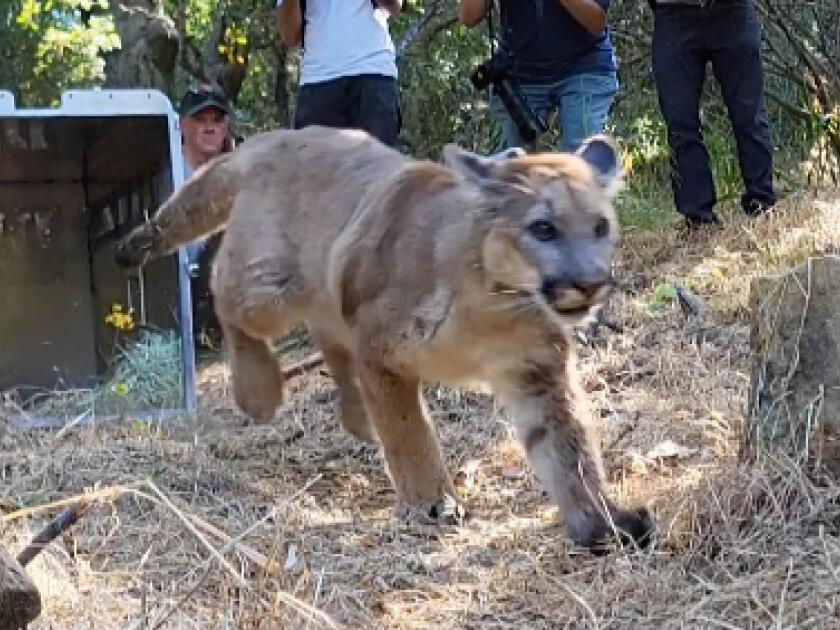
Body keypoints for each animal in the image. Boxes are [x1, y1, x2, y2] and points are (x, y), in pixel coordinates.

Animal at [115, 125, 652, 550]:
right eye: (542, 228)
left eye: (600, 226)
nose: (590, 282)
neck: (493, 305)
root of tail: (273, 136)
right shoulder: (383, 350)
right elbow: (408, 432)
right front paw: (433, 505)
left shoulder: (537, 371)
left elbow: (567, 448)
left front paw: (601, 522)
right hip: (268, 286)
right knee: (224, 292)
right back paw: (259, 391)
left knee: (329, 337)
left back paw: (356, 418)